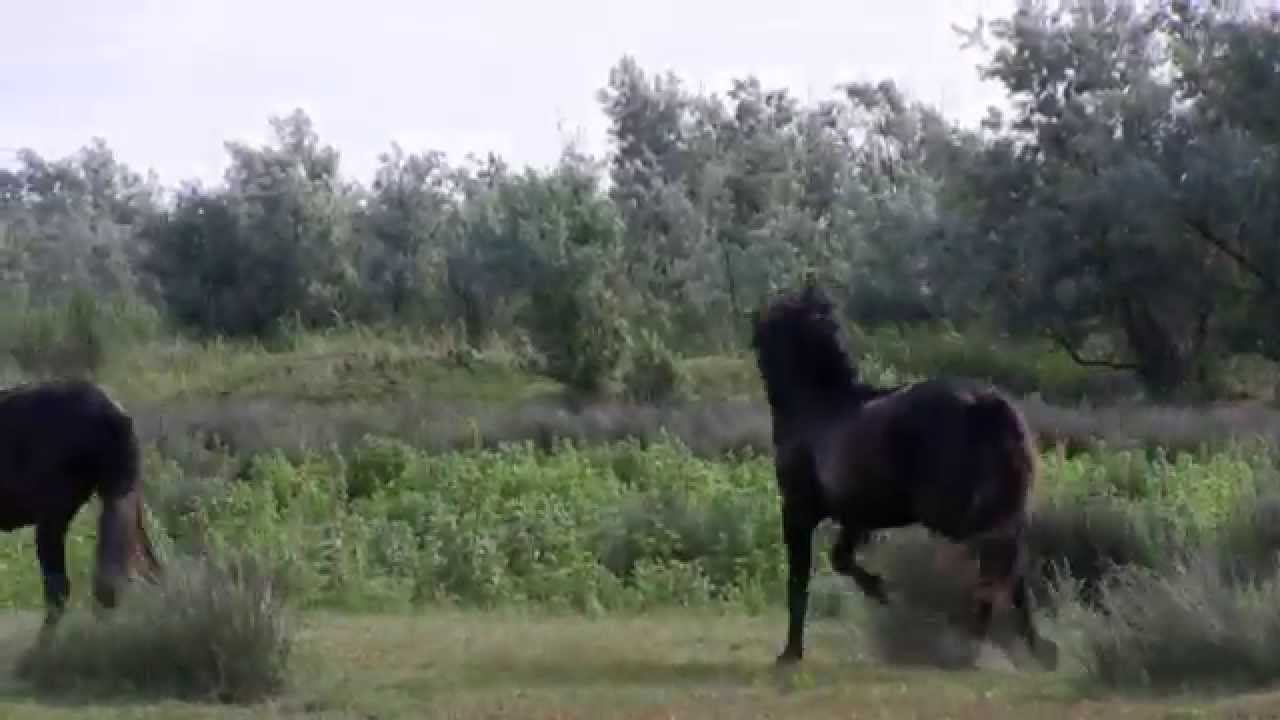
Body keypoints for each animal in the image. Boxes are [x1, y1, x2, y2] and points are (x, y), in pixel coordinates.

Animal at [748, 283, 1058, 669]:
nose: (754, 330)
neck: (819, 409)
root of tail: (985, 403)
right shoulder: (856, 516)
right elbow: (841, 559)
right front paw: (883, 590)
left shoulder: (797, 510)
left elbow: (799, 579)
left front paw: (791, 652)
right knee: (1011, 567)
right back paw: (1030, 647)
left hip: (952, 514)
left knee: (999, 560)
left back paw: (976, 642)